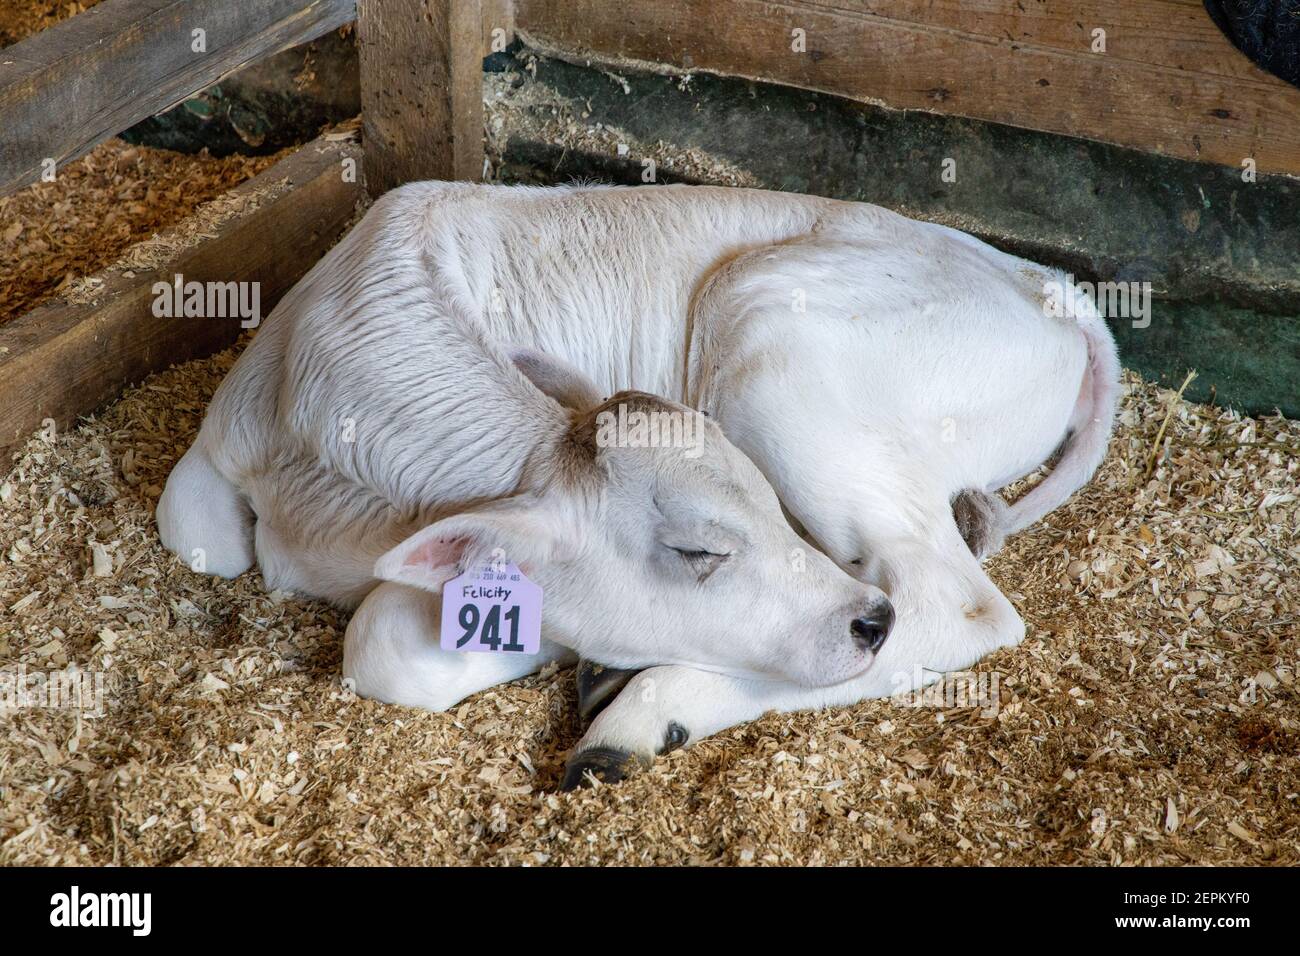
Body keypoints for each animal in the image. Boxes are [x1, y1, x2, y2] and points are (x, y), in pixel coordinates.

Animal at [157, 182, 1120, 789]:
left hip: (772, 344)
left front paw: (560, 652)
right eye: (699, 549)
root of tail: (1046, 280)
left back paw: (641, 717)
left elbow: (384, 640)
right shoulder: (218, 446)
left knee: (950, 604)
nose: (864, 622)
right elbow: (196, 535)